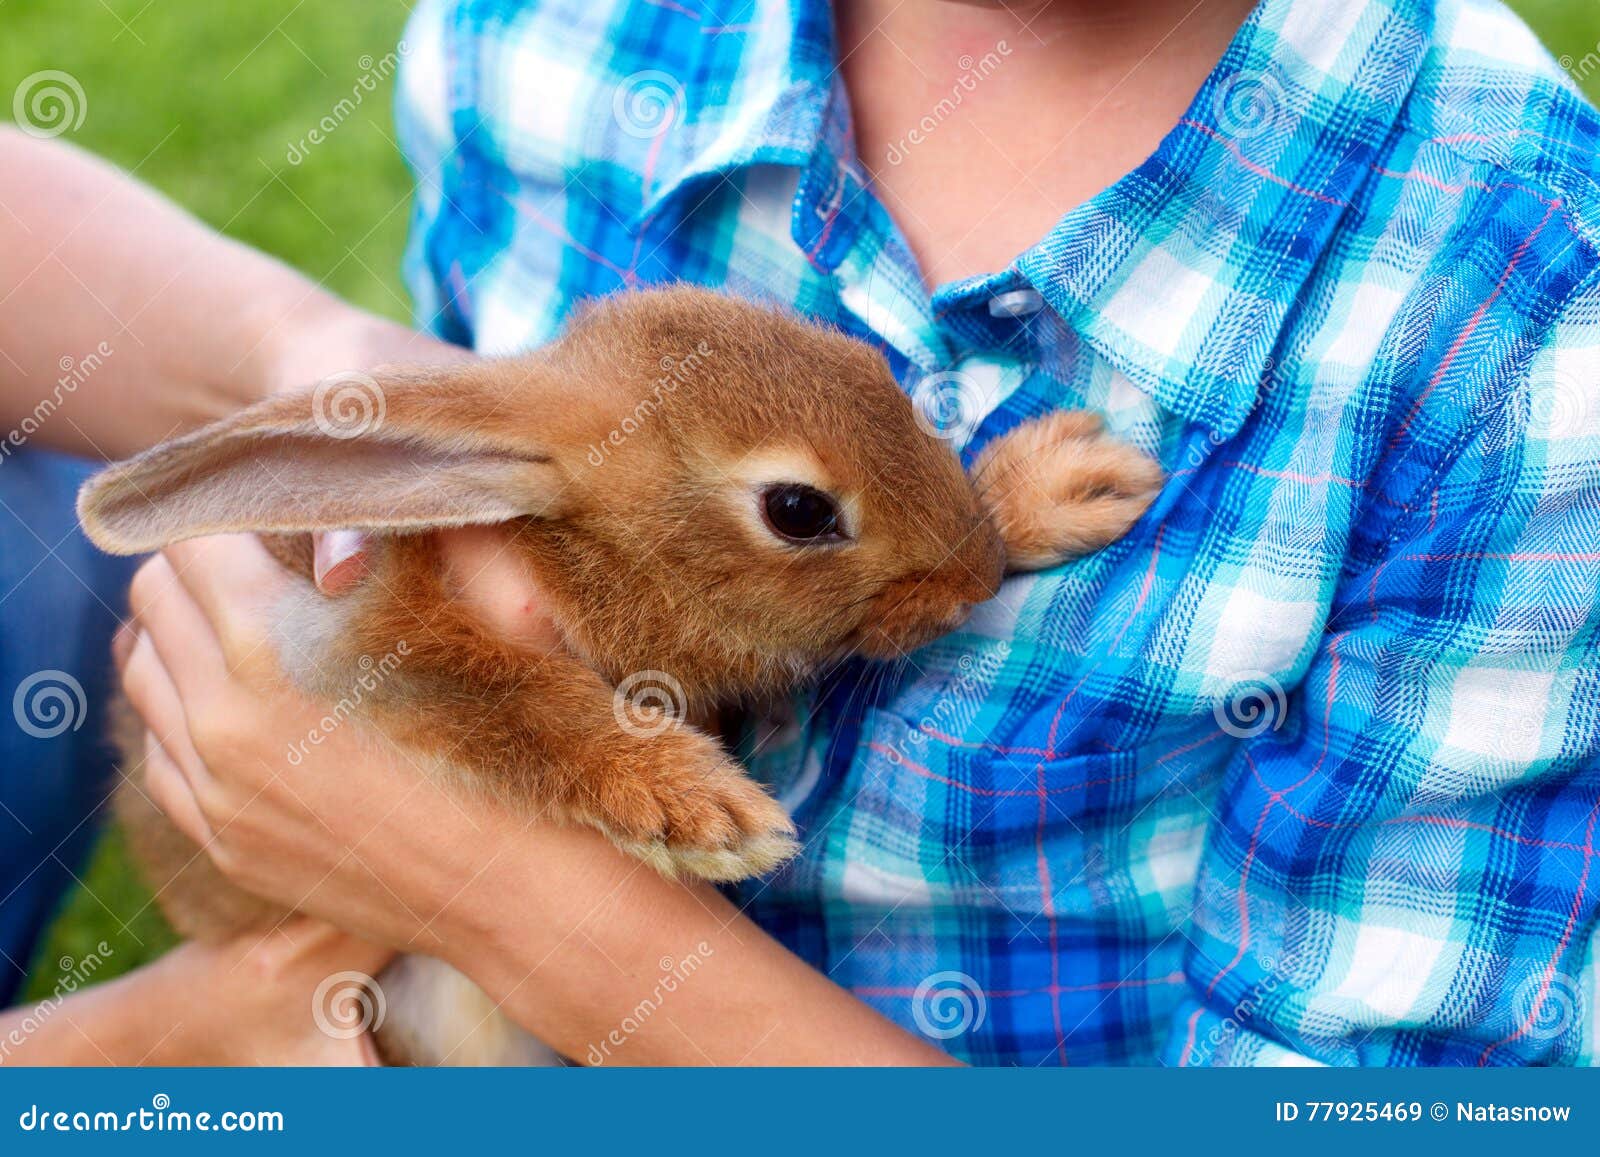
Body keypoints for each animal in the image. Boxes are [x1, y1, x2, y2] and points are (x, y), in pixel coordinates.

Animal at [78, 285, 1164, 1066]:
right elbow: (513, 700)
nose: (972, 571)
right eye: (799, 509)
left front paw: (1060, 484)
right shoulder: (358, 635)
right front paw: (702, 809)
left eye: (871, 366)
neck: (581, 544)